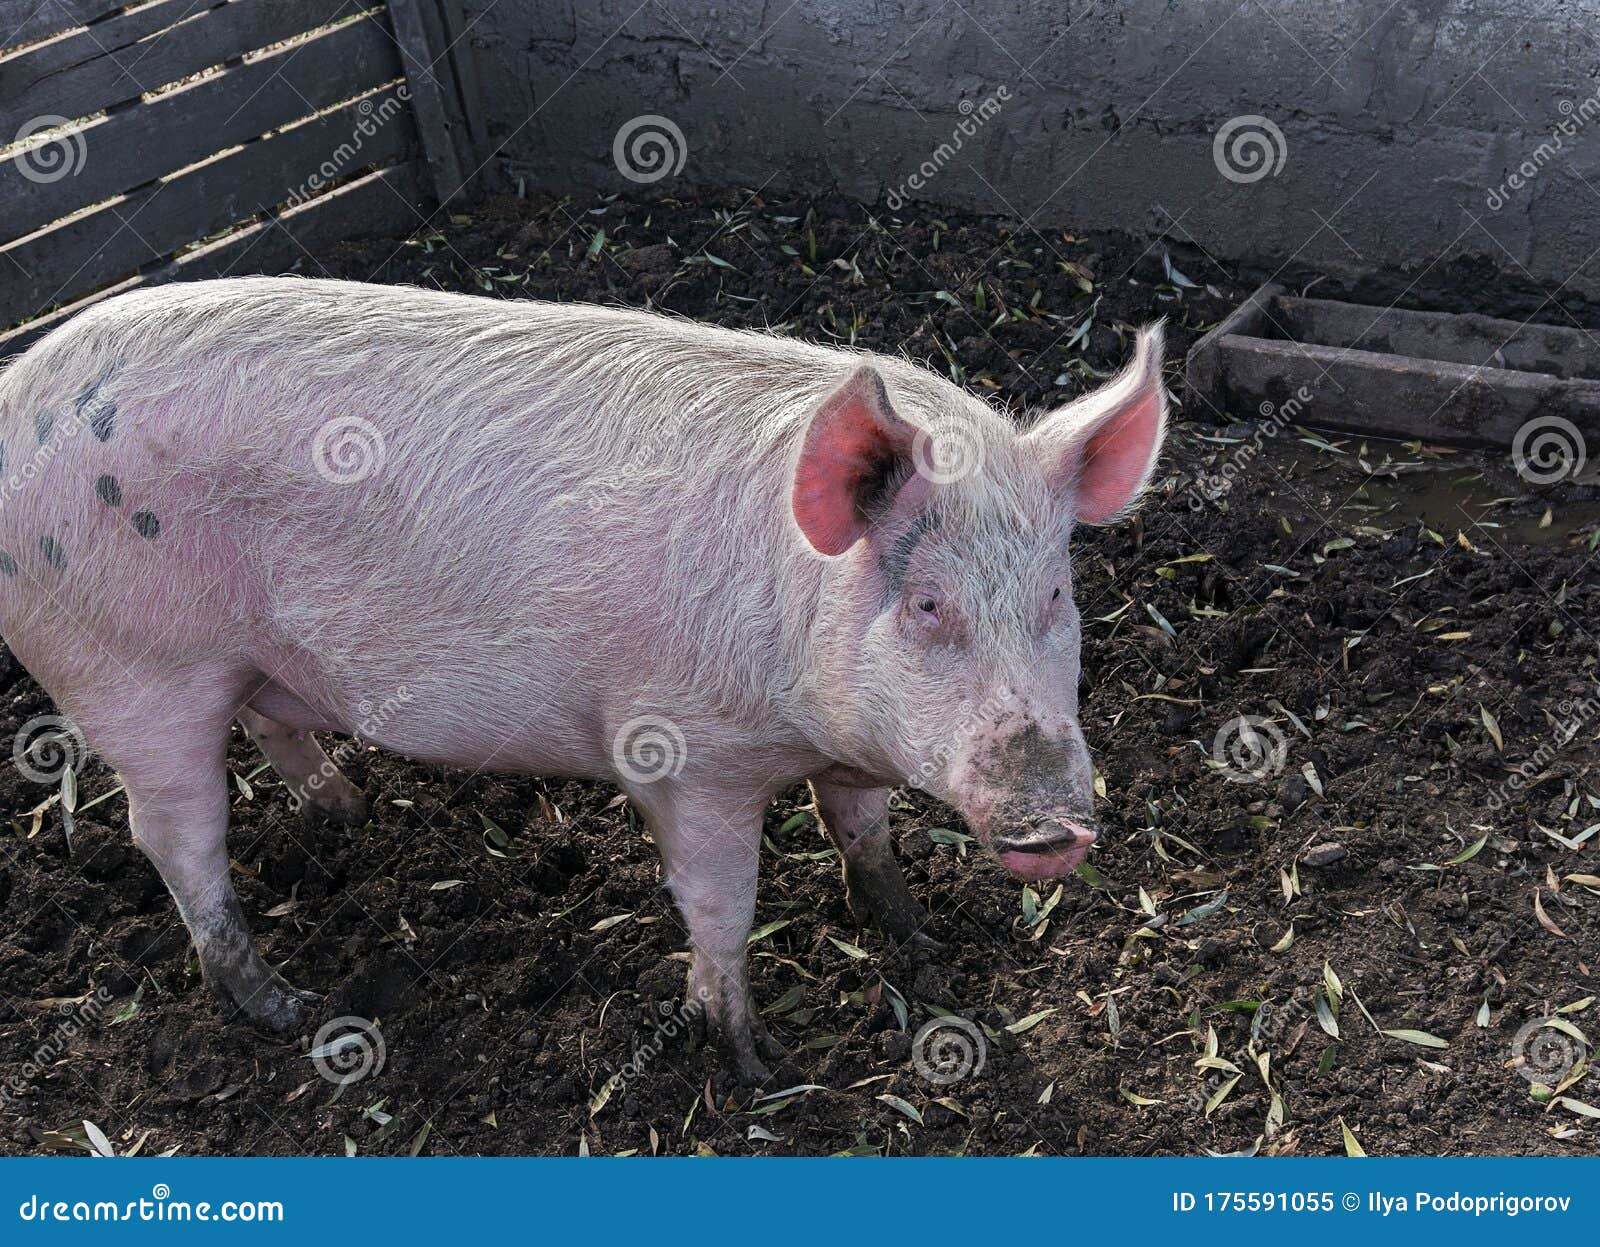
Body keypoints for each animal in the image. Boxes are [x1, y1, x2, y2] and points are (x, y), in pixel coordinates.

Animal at [0, 277, 1165, 1080]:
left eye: (1055, 593)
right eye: (926, 606)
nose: (1057, 825)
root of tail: (16, 390)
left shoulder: (843, 754)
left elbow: (864, 835)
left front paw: (918, 942)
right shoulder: (683, 753)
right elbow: (722, 902)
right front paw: (753, 1061)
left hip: (243, 660)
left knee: (270, 730)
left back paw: (347, 812)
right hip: (130, 666)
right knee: (172, 834)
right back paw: (284, 1003)